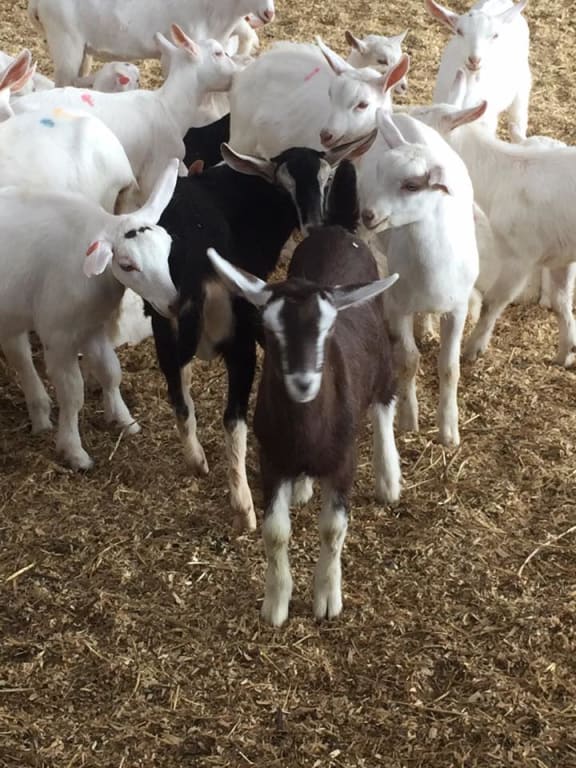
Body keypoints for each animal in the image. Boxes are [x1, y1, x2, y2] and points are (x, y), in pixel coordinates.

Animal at [206, 160, 400, 626]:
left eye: (328, 328)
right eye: (268, 329)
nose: (303, 382)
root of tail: (337, 227)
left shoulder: (345, 460)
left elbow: (333, 529)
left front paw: (326, 597)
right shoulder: (271, 459)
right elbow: (276, 532)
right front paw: (276, 602)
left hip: (382, 358)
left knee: (385, 403)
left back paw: (389, 477)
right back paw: (304, 488)